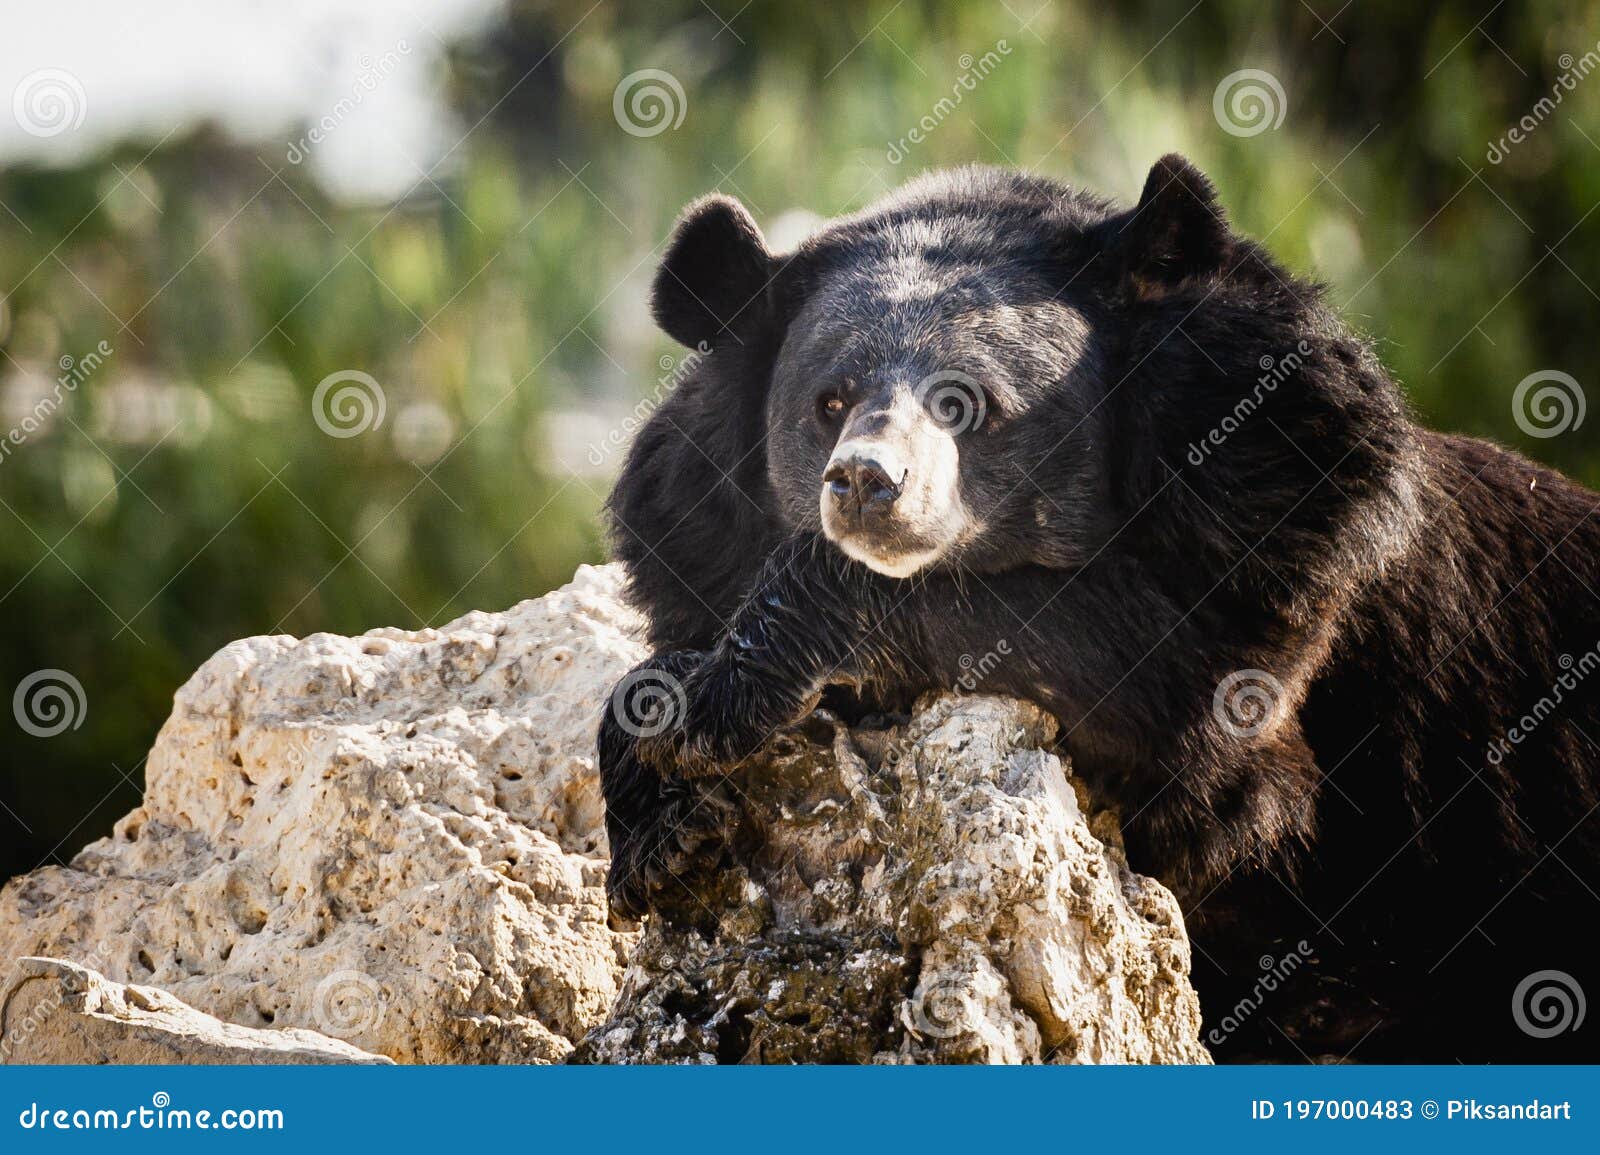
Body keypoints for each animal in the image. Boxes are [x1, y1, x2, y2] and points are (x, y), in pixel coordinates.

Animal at [597, 156, 1600, 1063]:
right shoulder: (690, 535)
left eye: (966, 405)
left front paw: (716, 699)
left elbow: (1184, 698)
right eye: (828, 401)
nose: (866, 484)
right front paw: (668, 832)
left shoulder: (1286, 514)